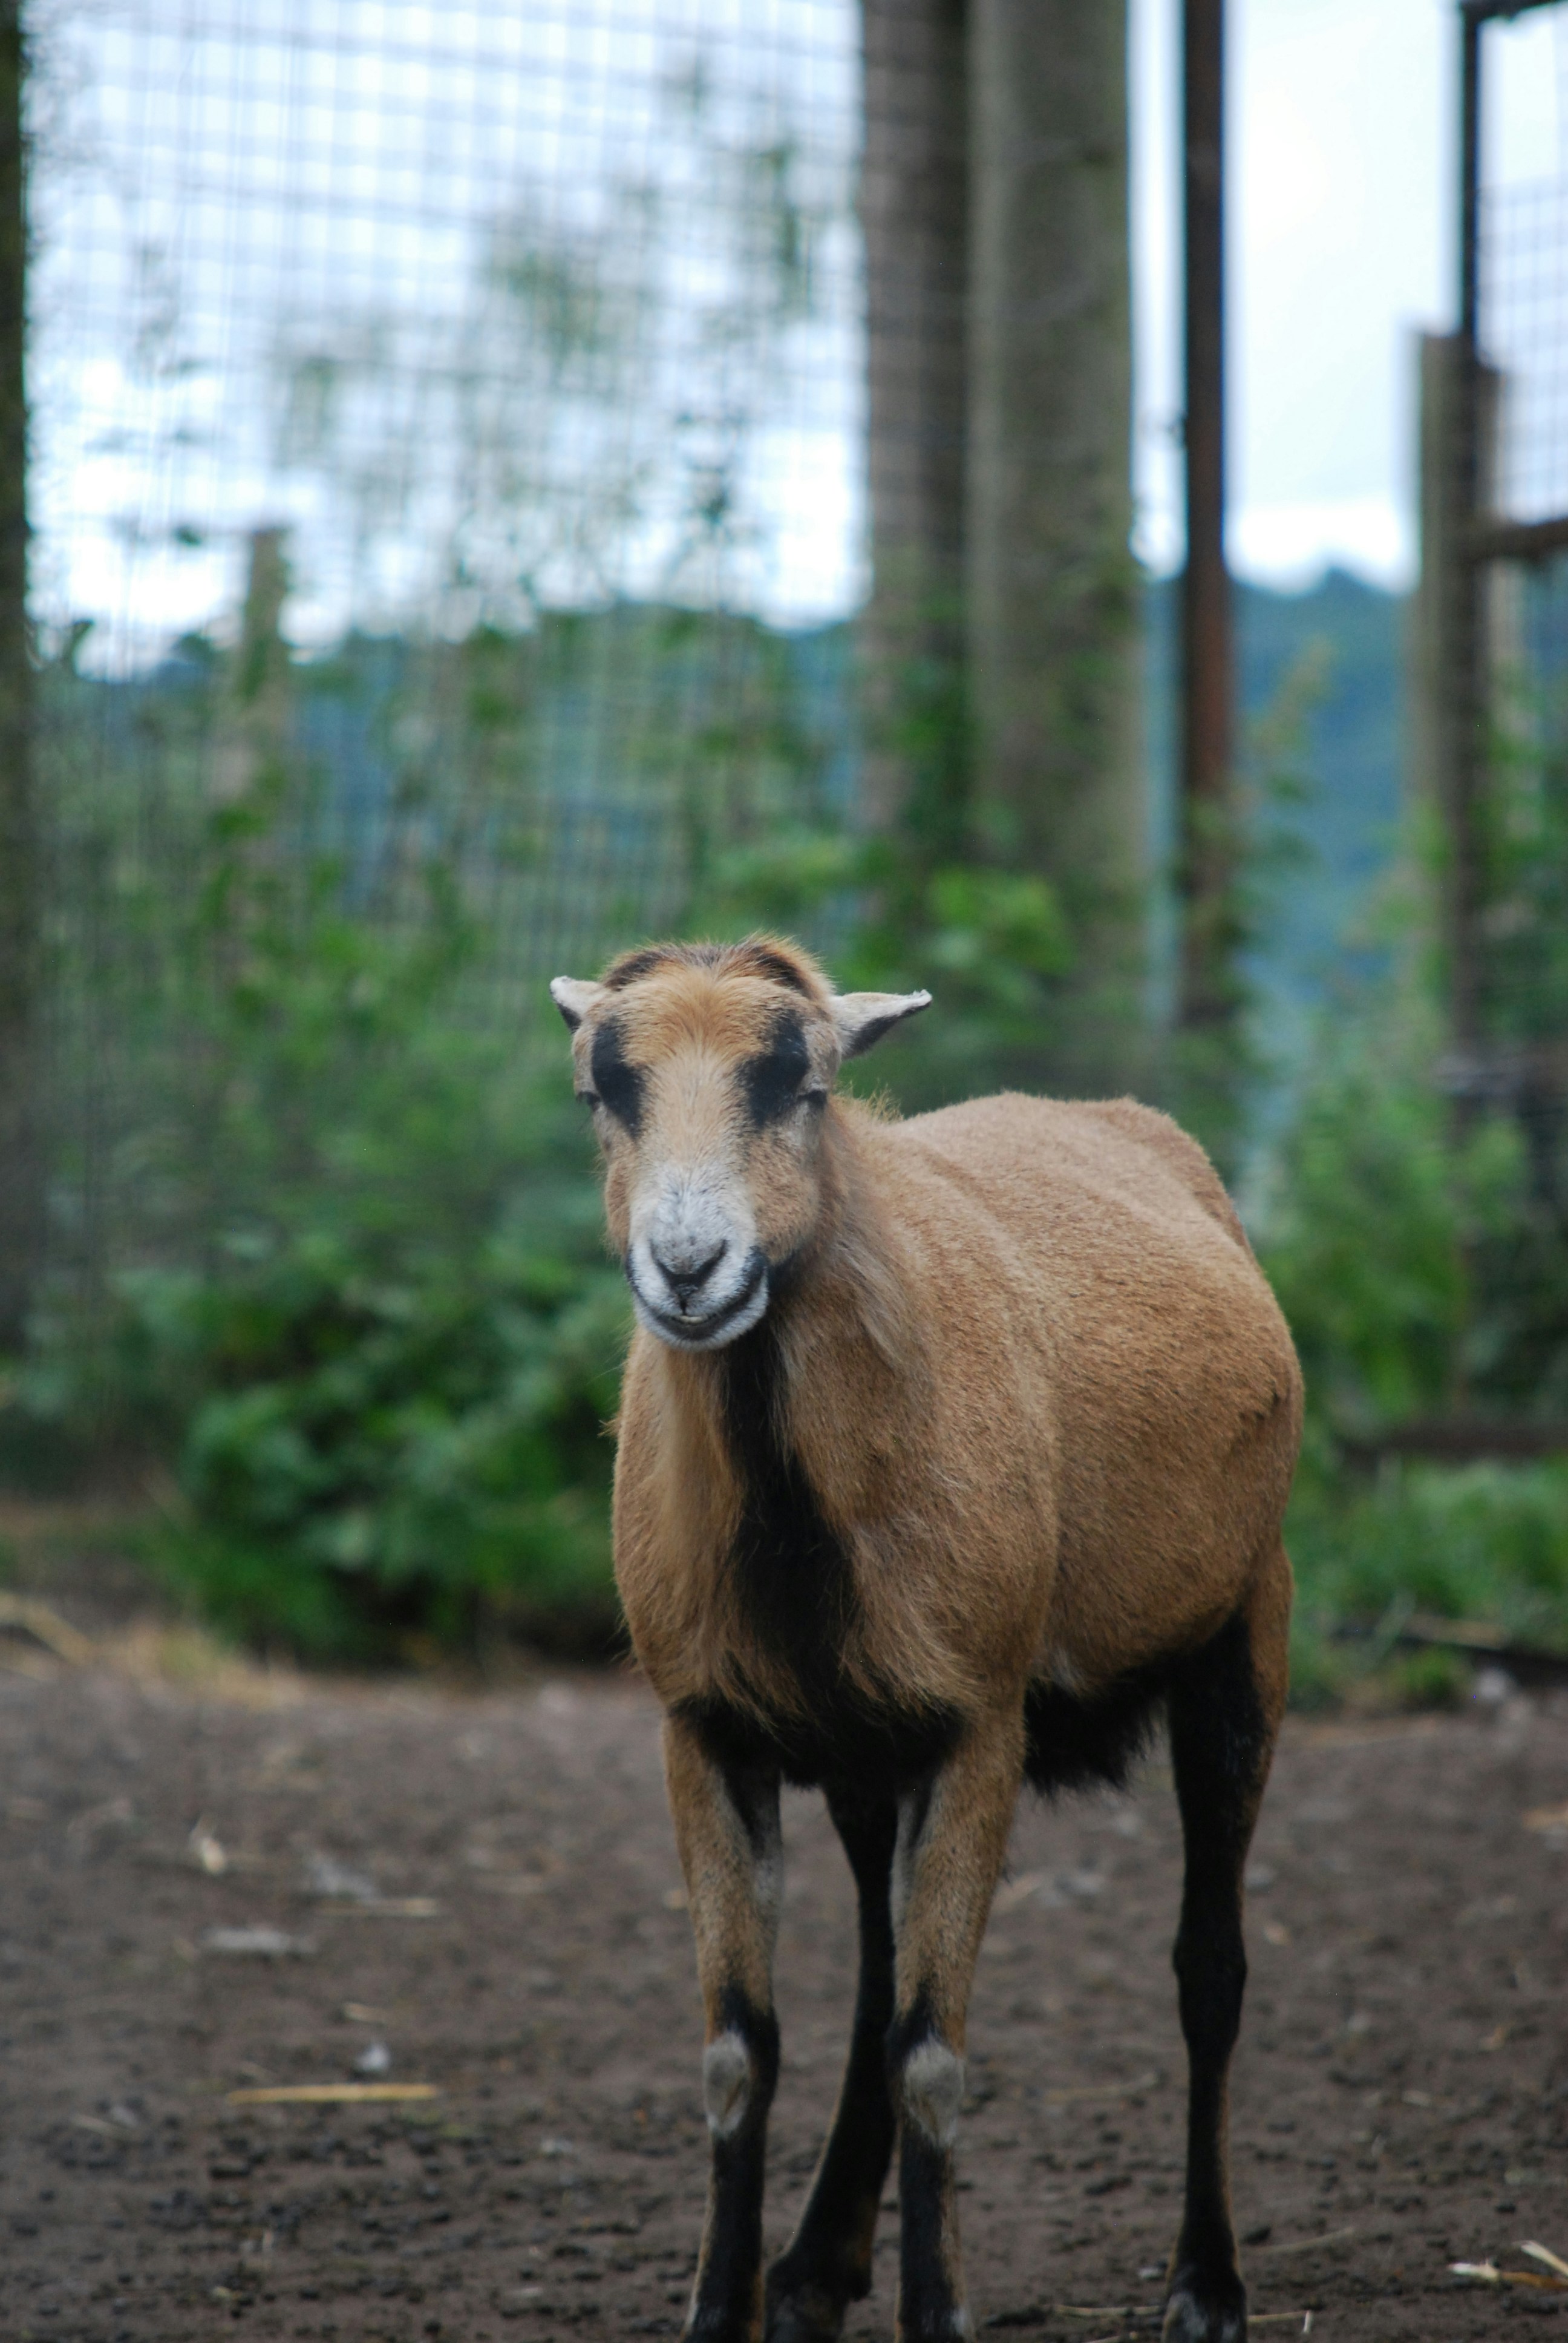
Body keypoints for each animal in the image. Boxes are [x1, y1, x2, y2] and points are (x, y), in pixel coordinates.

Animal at [549, 935, 1301, 2343]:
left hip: (1247, 1627)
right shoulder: (704, 1728)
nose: (689, 1265)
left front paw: (936, 2307)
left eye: (803, 1085)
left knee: (1210, 1970)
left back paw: (1206, 2285)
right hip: (860, 1746)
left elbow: (935, 2058)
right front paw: (725, 2304)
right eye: (602, 1091)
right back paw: (814, 2266)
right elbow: (741, 2049)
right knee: (873, 1977)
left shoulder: (980, 1724)